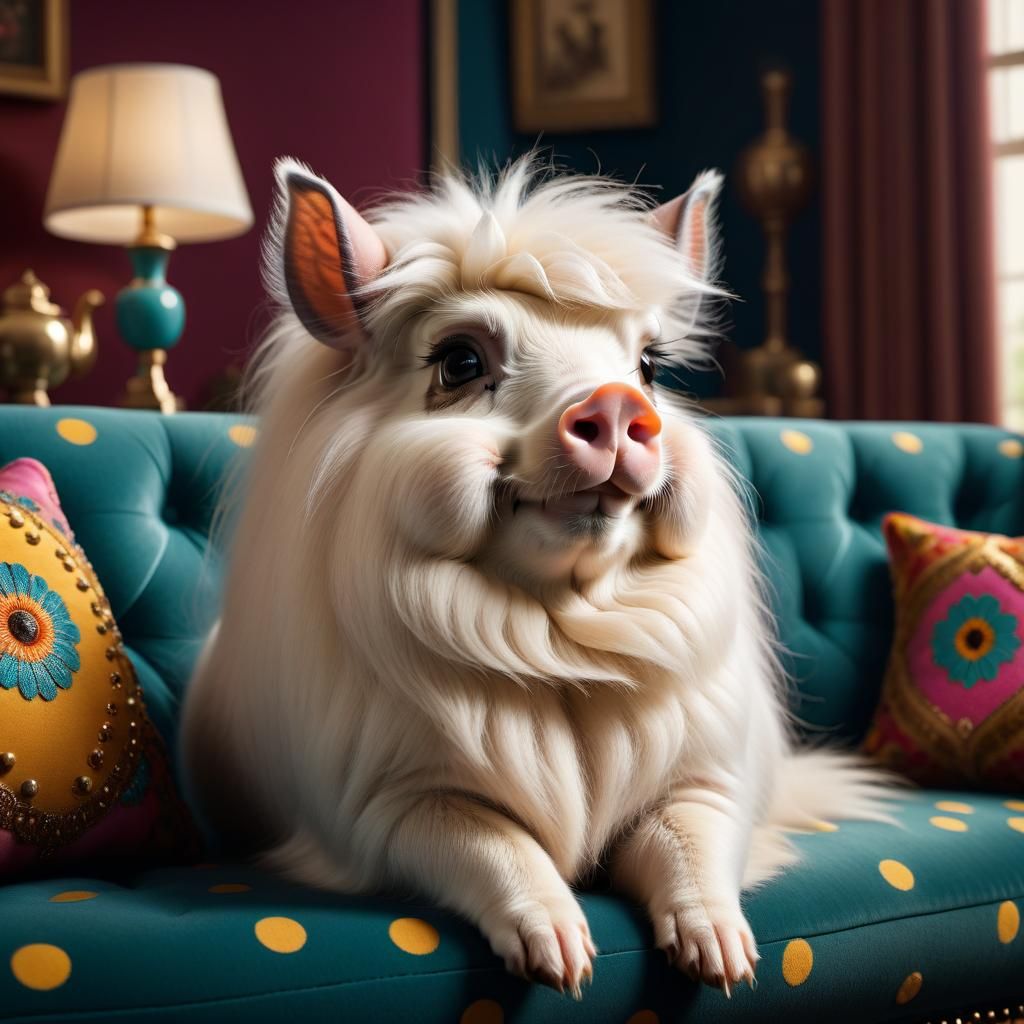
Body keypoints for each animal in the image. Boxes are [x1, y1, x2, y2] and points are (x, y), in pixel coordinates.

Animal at [181, 157, 890, 998]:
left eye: (648, 367)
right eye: (460, 361)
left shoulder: (710, 775)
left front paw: (725, 963)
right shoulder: (381, 805)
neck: (567, 641)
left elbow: (690, 837)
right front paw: (564, 962)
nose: (615, 402)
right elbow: (489, 840)